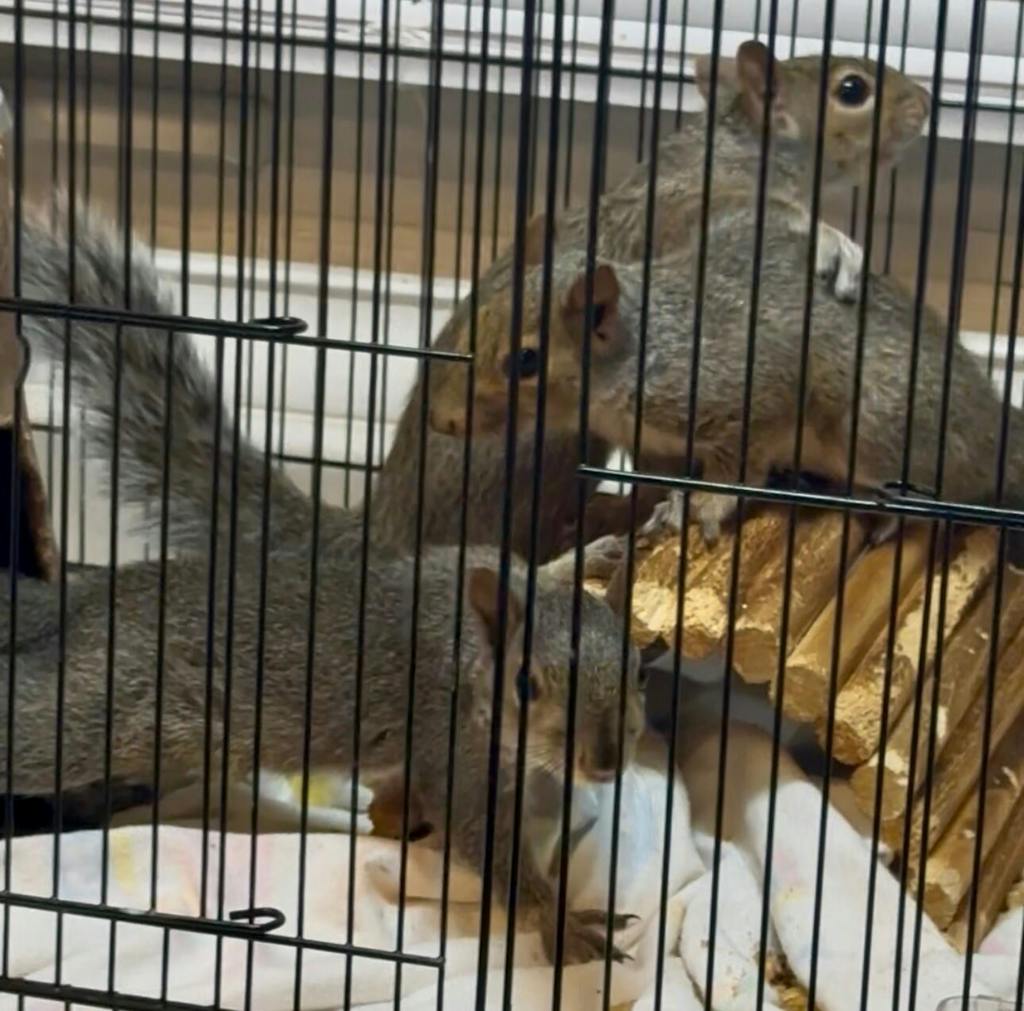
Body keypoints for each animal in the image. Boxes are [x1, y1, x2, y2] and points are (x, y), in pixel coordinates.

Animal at [0, 543, 646, 964]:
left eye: (638, 671)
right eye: (526, 686)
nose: (606, 761)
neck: (468, 648)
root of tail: (82, 599)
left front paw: (592, 558)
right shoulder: (451, 747)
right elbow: (486, 842)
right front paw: (562, 924)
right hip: (97, 711)